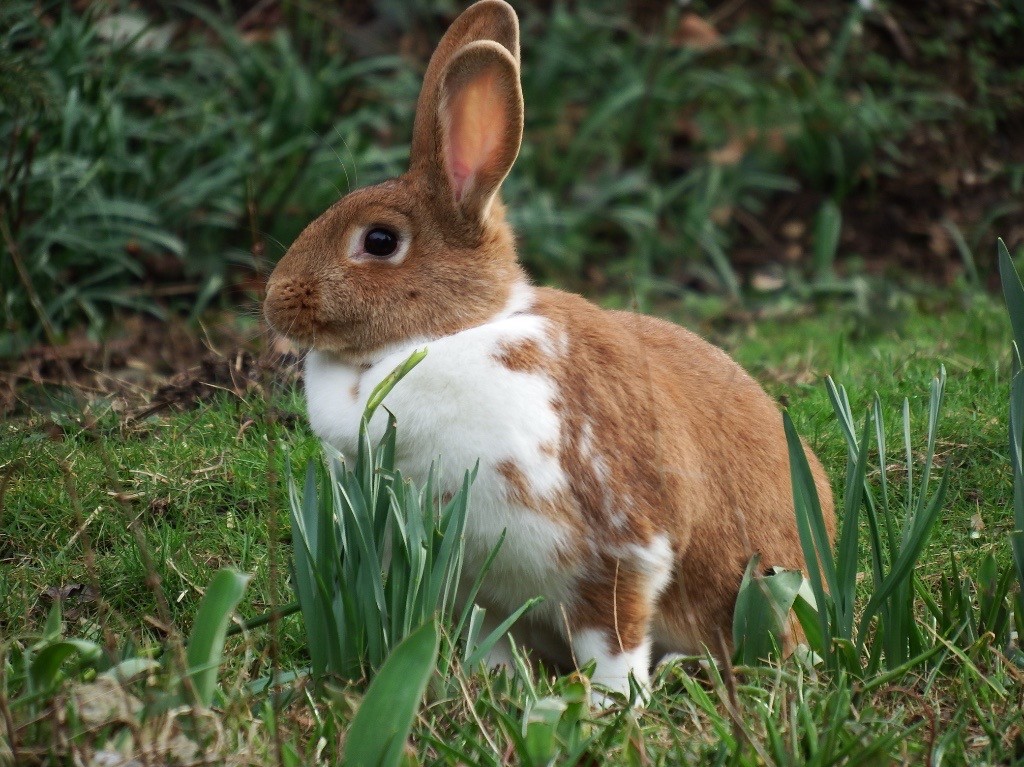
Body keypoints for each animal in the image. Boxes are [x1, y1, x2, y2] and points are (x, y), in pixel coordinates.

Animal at [263, 0, 835, 700]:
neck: (444, 335)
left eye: (378, 241)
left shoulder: (618, 550)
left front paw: (609, 707)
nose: (274, 300)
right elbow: (495, 644)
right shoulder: (482, 595)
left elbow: (615, 638)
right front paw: (497, 688)